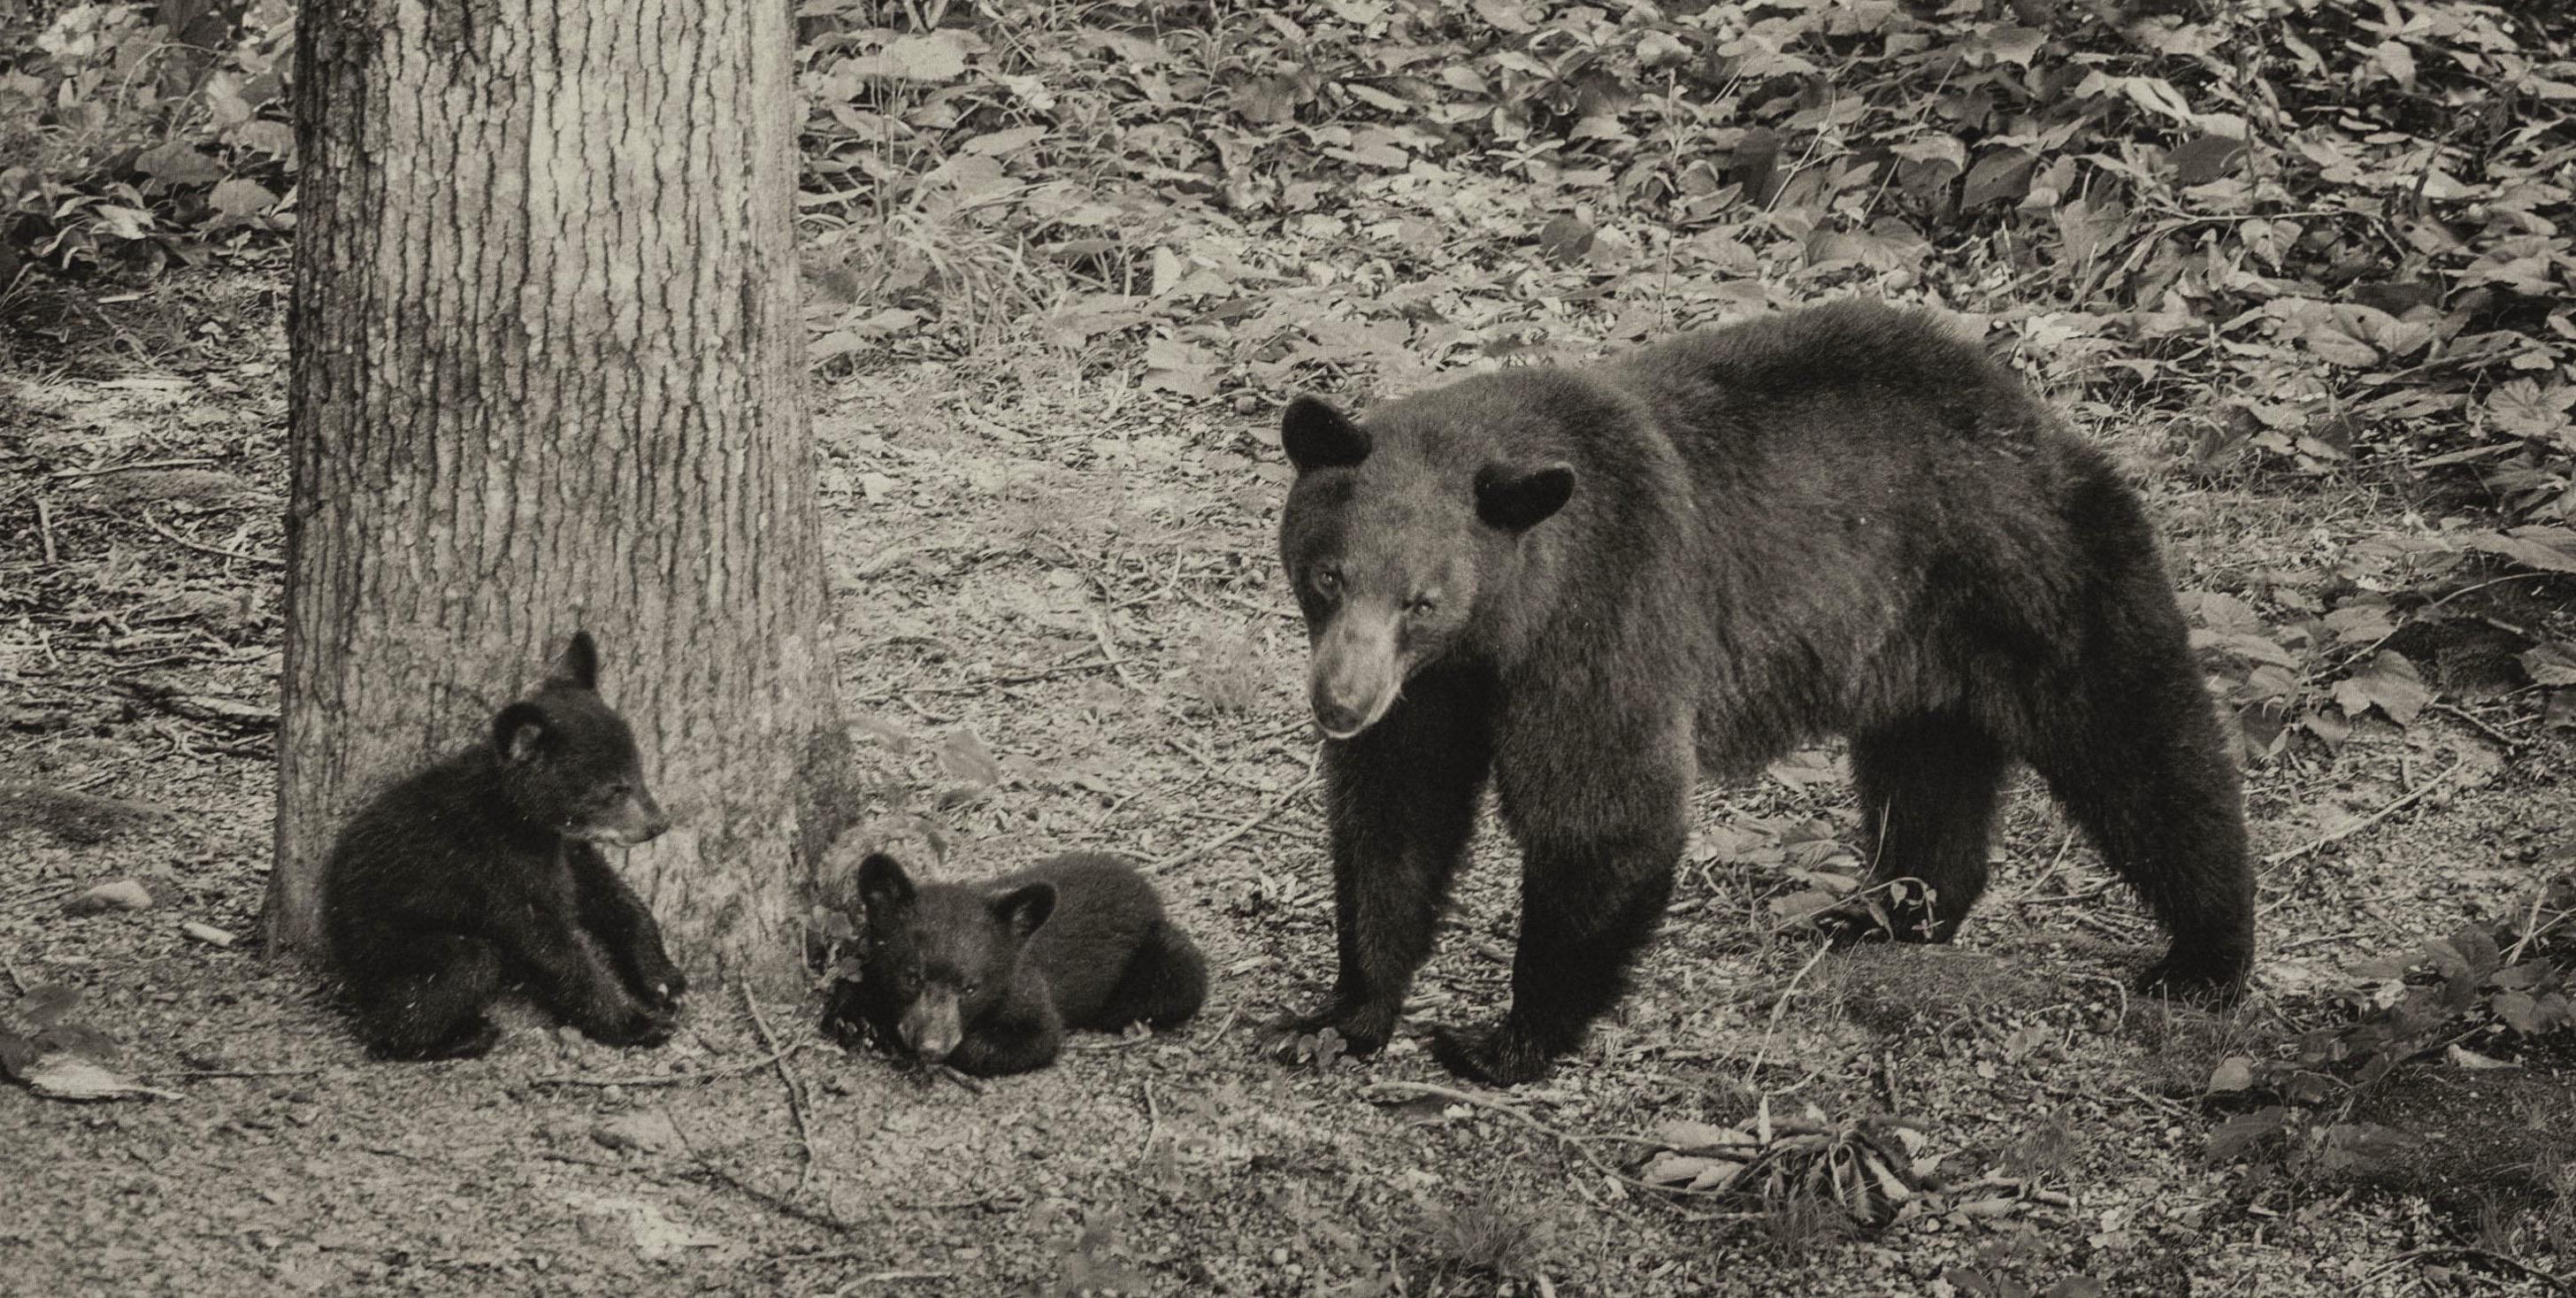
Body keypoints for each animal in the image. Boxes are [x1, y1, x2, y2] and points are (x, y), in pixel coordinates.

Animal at [320, 631, 687, 1060]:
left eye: (637, 772)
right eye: (613, 789)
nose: (658, 823)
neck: (516, 814)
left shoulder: (562, 846)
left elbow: (605, 891)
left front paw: (663, 979)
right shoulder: (496, 870)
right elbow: (552, 948)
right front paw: (638, 1024)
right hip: (397, 953)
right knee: (456, 969)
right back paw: (462, 1035)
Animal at [822, 851, 1208, 1078]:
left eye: (971, 988)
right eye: (911, 977)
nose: (930, 1044)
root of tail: (1149, 893)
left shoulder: (1027, 990)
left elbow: (1039, 1036)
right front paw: (854, 1019)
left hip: (1163, 955)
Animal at [1270, 298, 2255, 1087]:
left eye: (1423, 599)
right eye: (1326, 575)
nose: (1340, 704)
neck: (1501, 626)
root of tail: (2030, 413)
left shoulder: (1601, 621)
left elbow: (1604, 810)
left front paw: (1503, 1039)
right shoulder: (1436, 690)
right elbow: (1396, 816)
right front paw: (1338, 1014)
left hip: (2039, 574)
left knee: (2141, 747)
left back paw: (2204, 955)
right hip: (1915, 653)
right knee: (1928, 782)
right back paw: (1888, 914)